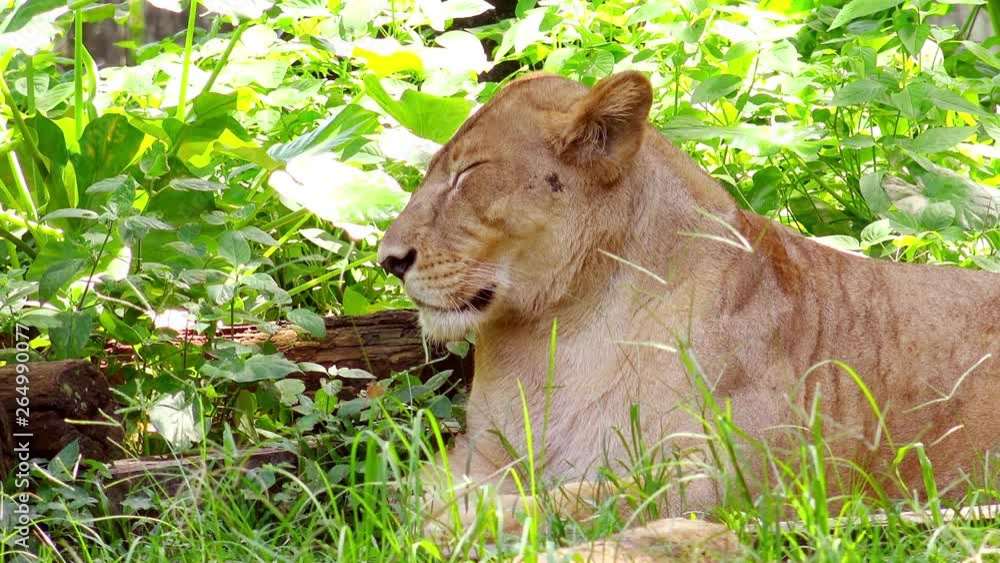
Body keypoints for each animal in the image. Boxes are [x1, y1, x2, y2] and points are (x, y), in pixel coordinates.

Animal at [376, 71, 1000, 535]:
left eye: (467, 174)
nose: (389, 259)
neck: (562, 331)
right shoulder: (478, 450)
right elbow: (413, 483)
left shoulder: (738, 477)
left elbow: (586, 501)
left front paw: (462, 521)